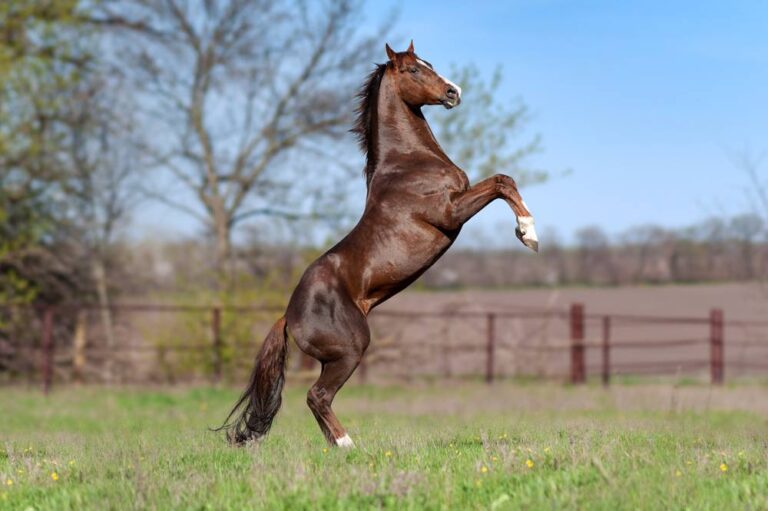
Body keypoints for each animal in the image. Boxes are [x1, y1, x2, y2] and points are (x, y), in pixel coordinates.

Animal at [220, 41, 539, 447]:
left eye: (428, 62)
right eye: (413, 70)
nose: (454, 92)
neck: (409, 164)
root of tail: (288, 316)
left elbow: (505, 179)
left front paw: (527, 233)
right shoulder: (451, 212)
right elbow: (500, 181)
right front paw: (528, 234)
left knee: (316, 401)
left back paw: (337, 448)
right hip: (351, 349)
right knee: (316, 396)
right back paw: (349, 446)